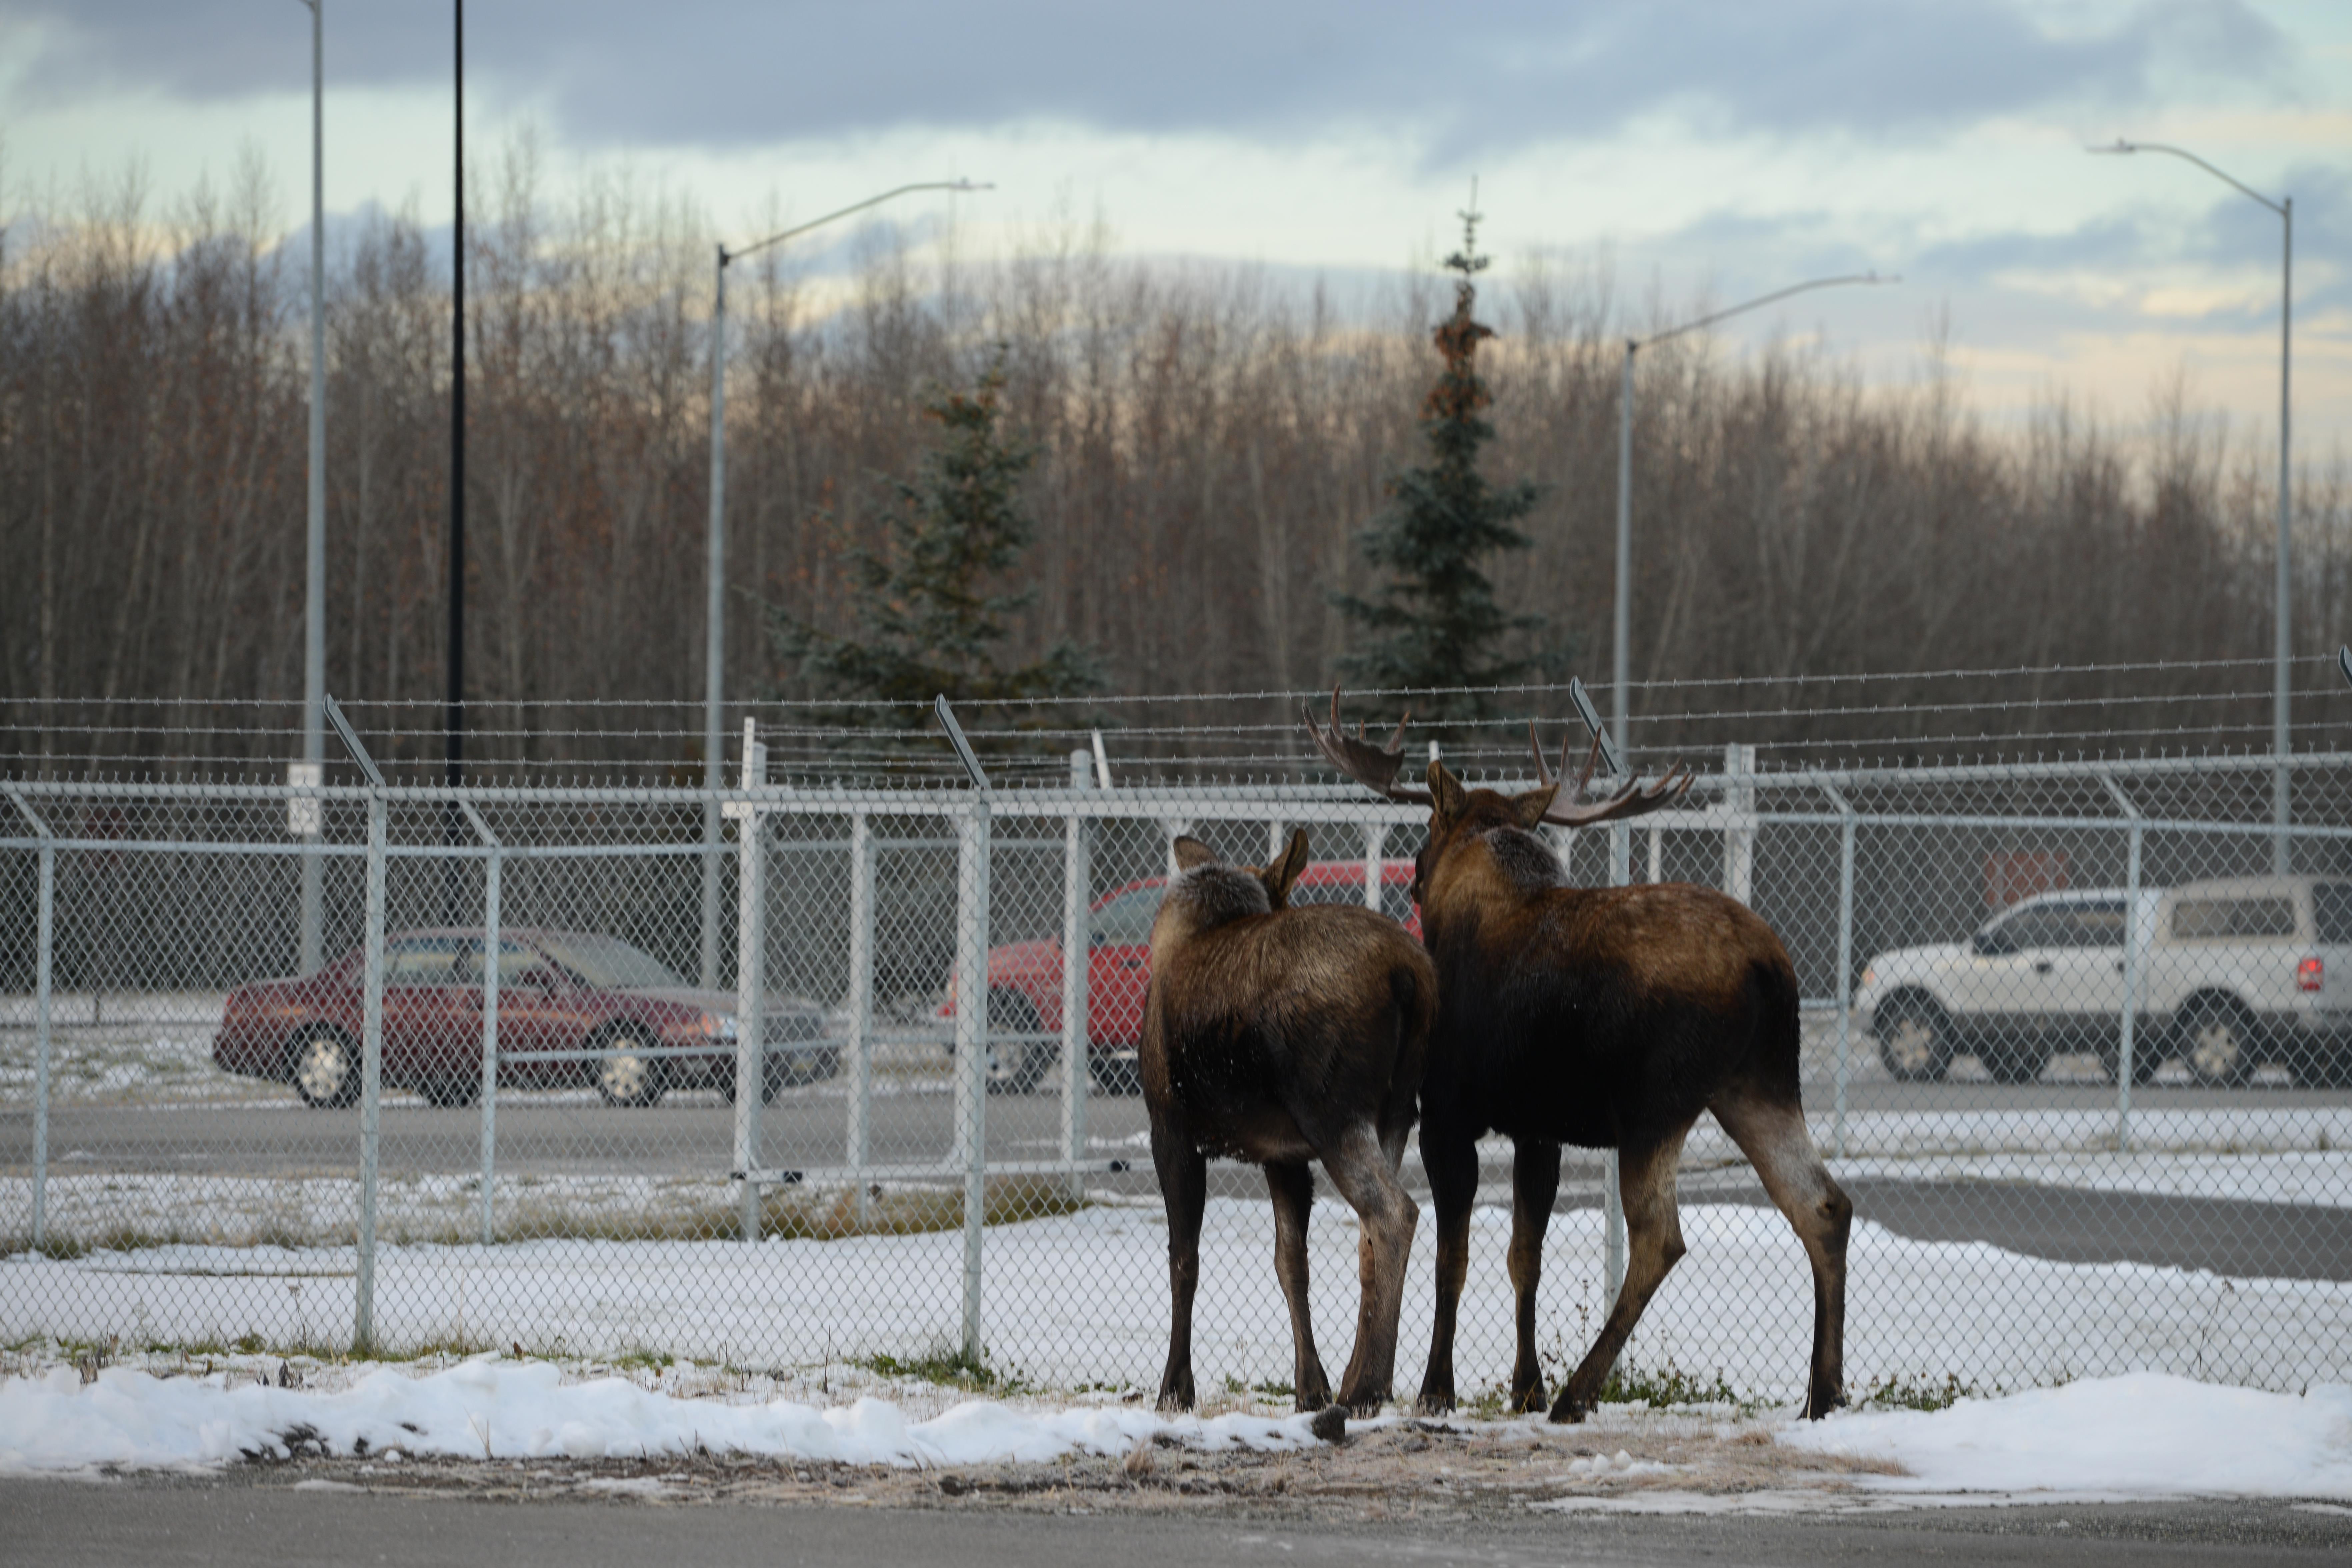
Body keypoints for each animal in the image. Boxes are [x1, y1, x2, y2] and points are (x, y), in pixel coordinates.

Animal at [1141, 828, 1438, 1417]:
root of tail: (1410, 979)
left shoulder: (1171, 1130)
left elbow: (1184, 1260)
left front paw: (1175, 1388)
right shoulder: (1284, 1155)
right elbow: (1291, 1264)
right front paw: (1310, 1387)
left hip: (1333, 1114)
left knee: (1395, 1213)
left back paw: (1370, 1387)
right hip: (1394, 1114)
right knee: (1370, 1233)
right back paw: (1353, 1382)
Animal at [1305, 691, 1851, 1422]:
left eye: (1427, 830)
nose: (1415, 878)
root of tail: (1771, 970)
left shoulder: (1448, 1114)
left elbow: (1456, 1256)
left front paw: (1439, 1388)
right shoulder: (1539, 1128)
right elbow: (1523, 1256)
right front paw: (1524, 1386)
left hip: (1658, 1102)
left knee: (1659, 1235)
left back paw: (1579, 1391)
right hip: (1757, 1086)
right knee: (1822, 1204)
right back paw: (1823, 1392)